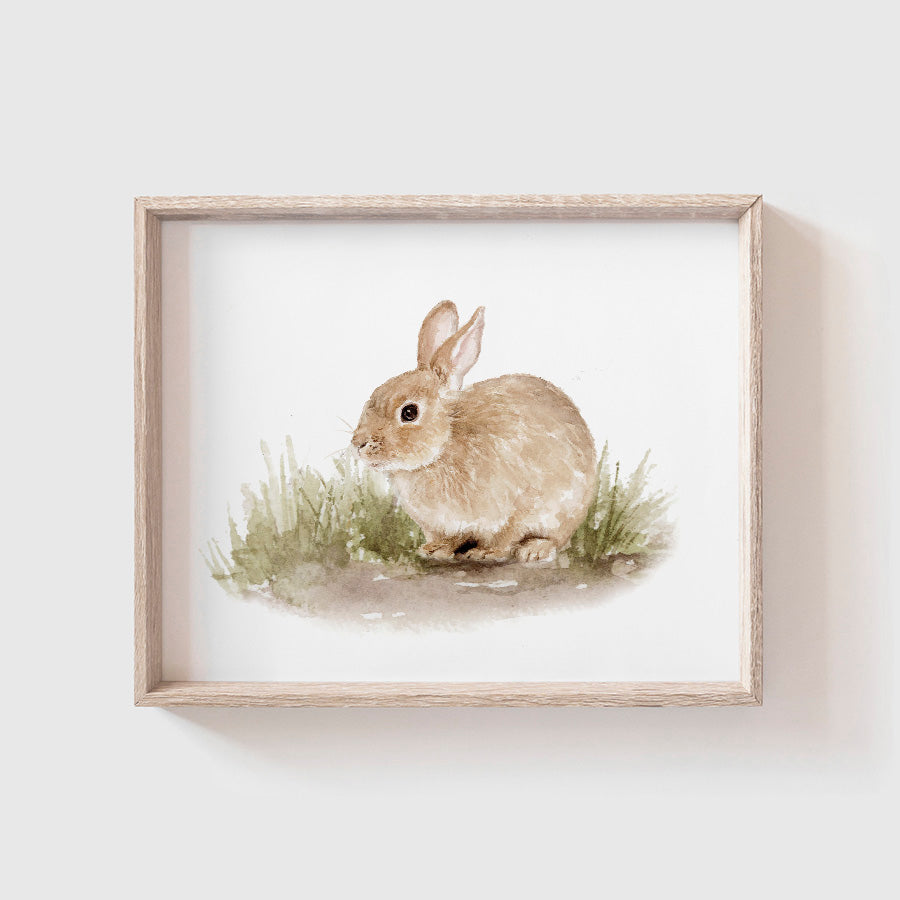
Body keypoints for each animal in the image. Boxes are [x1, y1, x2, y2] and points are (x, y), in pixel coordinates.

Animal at [351, 301, 598, 563]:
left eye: (409, 412)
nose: (358, 444)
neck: (444, 444)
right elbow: (452, 538)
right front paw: (435, 549)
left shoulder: (519, 504)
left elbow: (507, 534)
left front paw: (486, 553)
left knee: (555, 539)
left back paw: (535, 550)